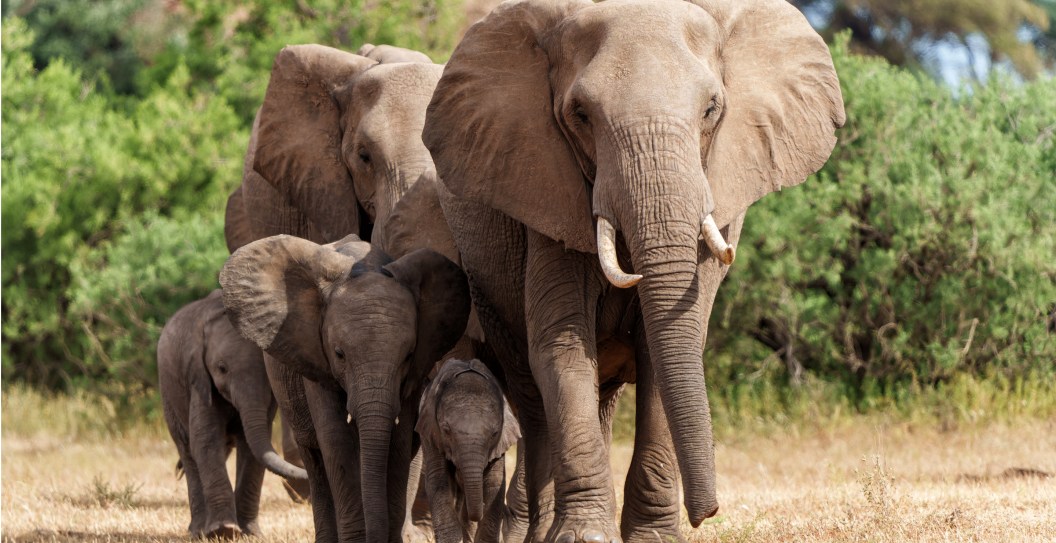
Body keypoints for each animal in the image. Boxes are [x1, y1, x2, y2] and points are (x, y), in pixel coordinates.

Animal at [157, 290, 309, 539]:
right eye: (221, 368)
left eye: (266, 371)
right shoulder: (198, 379)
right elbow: (206, 442)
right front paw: (224, 531)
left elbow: (252, 448)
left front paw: (250, 533)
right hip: (169, 394)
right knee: (187, 450)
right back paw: (197, 531)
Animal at [220, 234, 471, 543]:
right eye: (339, 354)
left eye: (408, 356)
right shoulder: (317, 358)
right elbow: (336, 439)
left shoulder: (415, 373)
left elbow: (399, 441)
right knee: (314, 458)